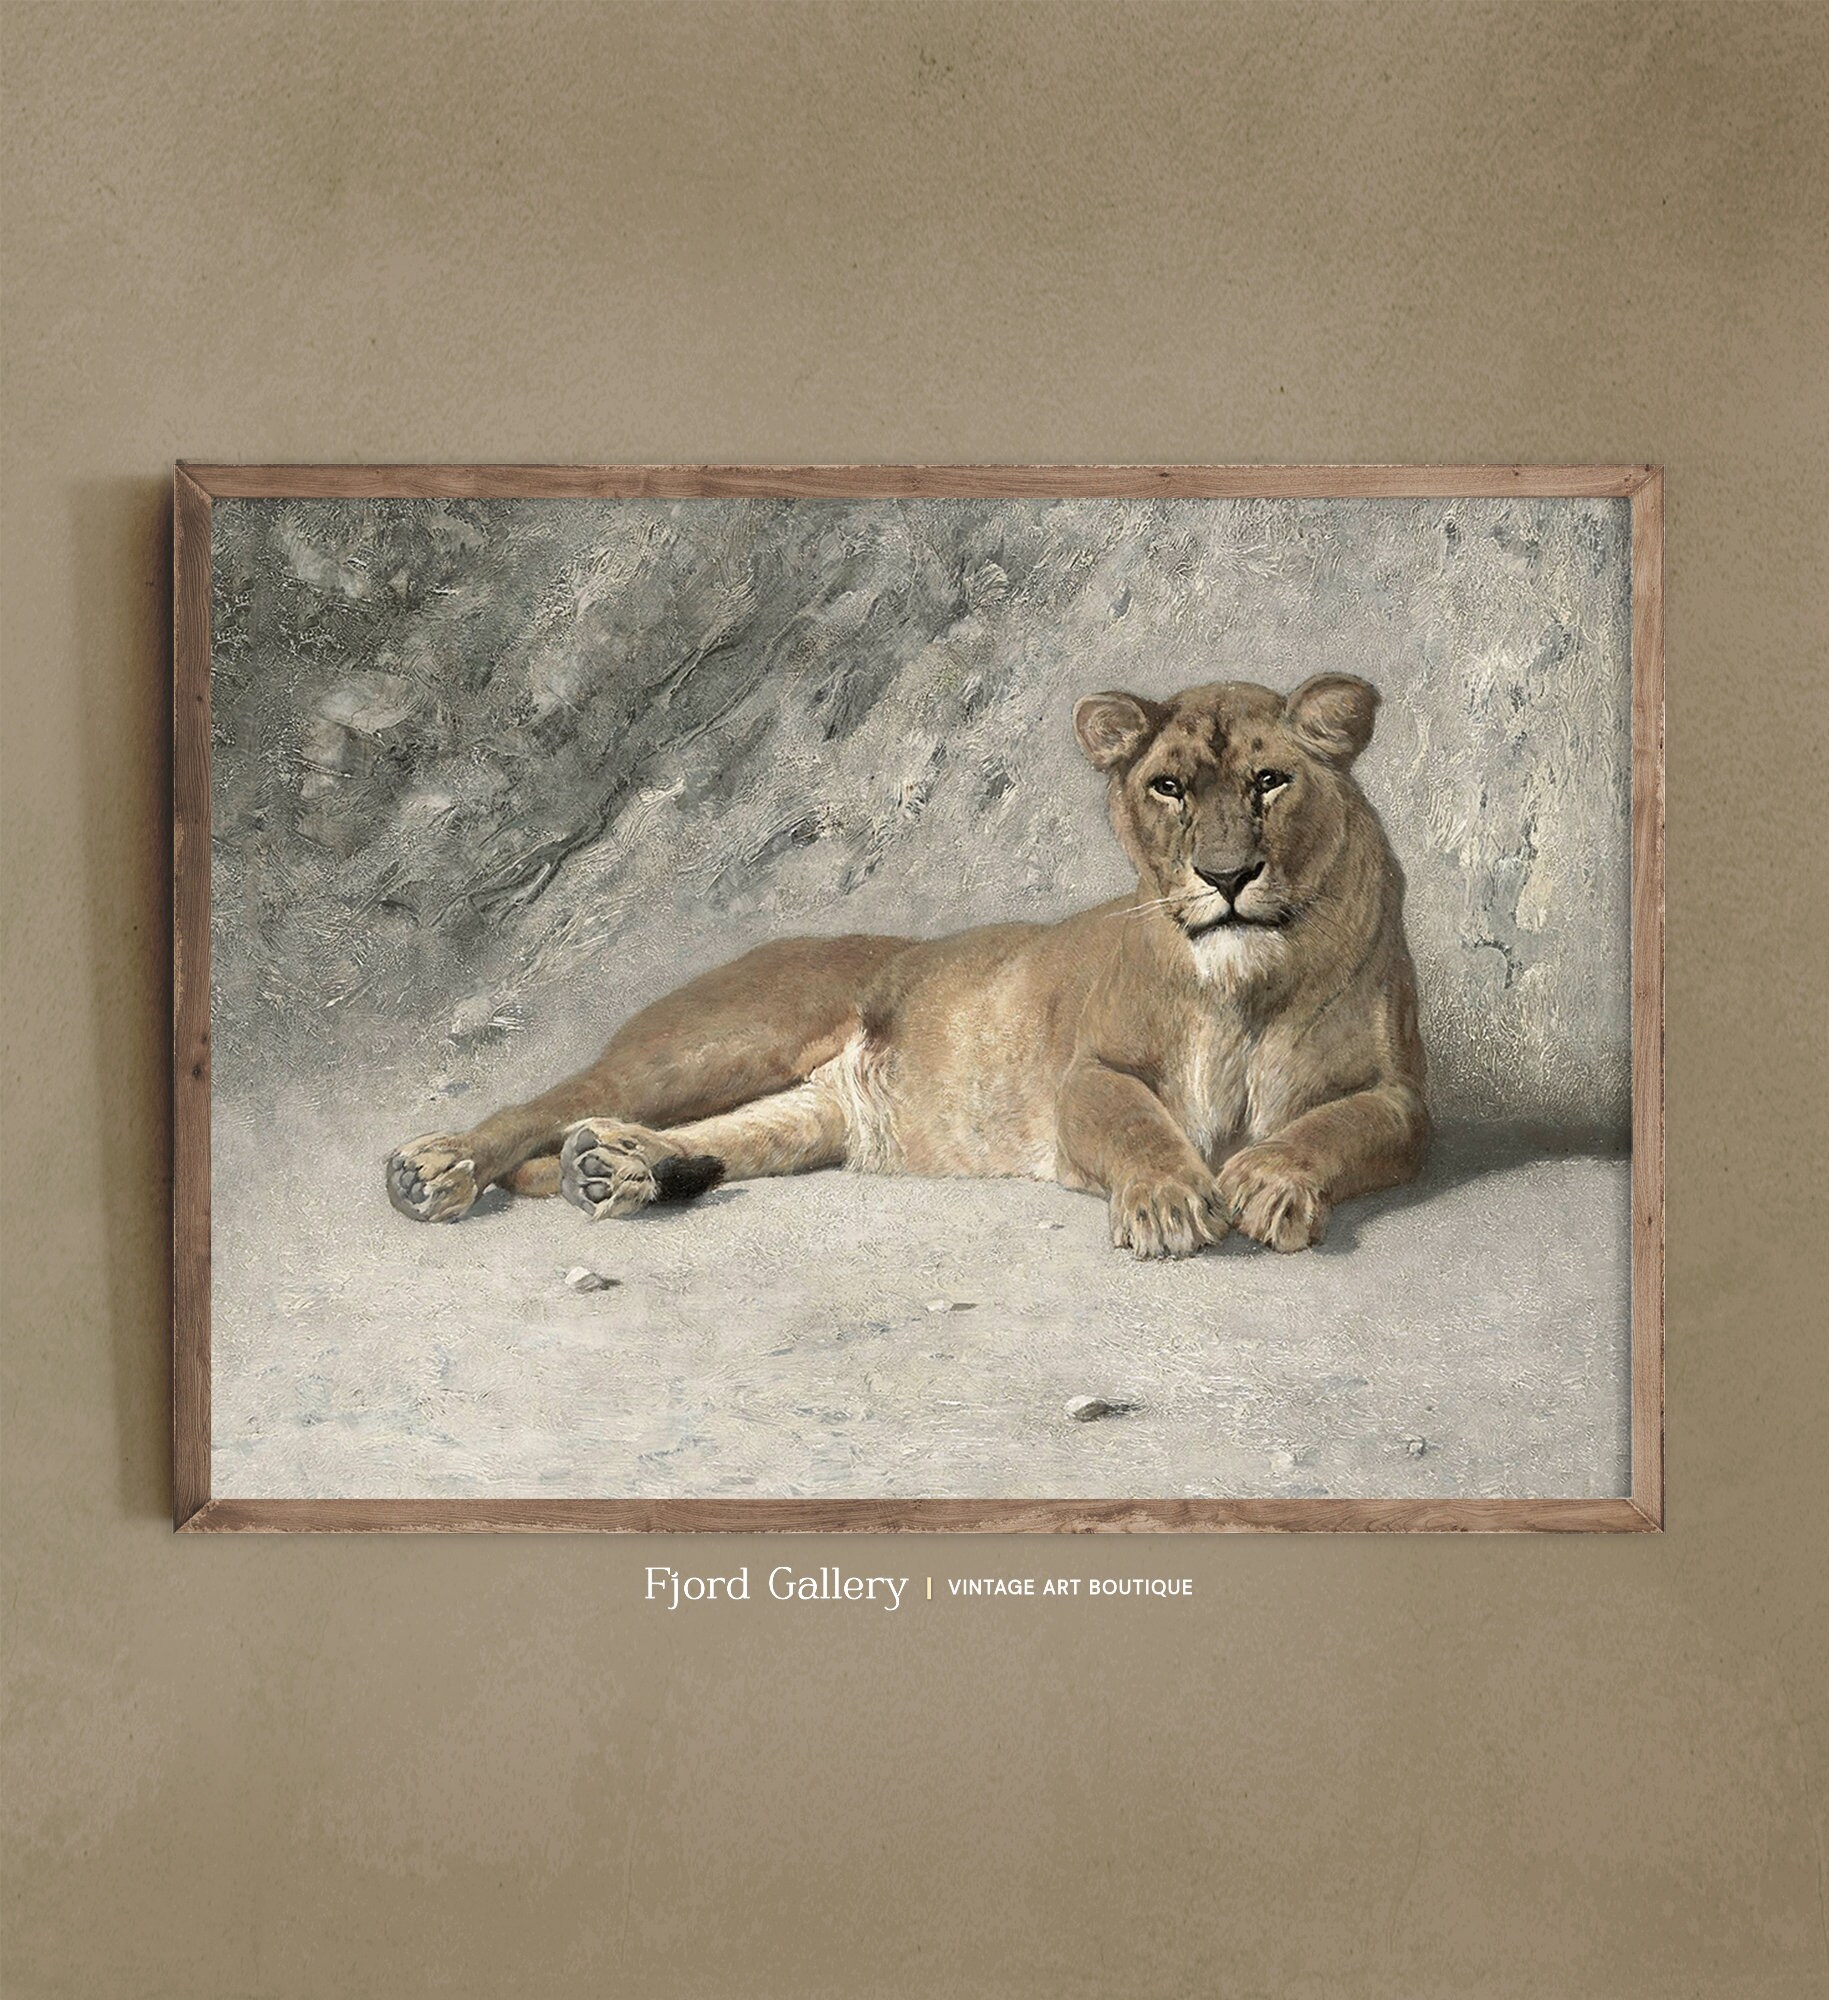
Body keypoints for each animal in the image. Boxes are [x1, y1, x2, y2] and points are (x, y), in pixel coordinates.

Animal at [386, 673, 1428, 1257]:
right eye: (1168, 787)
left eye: (1269, 781)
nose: (1225, 875)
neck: (1247, 982)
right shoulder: (1089, 1074)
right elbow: (1138, 1124)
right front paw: (1171, 1203)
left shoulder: (1401, 1099)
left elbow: (1331, 1128)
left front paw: (1271, 1181)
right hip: (716, 1042)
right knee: (555, 1102)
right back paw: (436, 1170)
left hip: (809, 1117)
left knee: (714, 1136)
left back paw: (616, 1169)